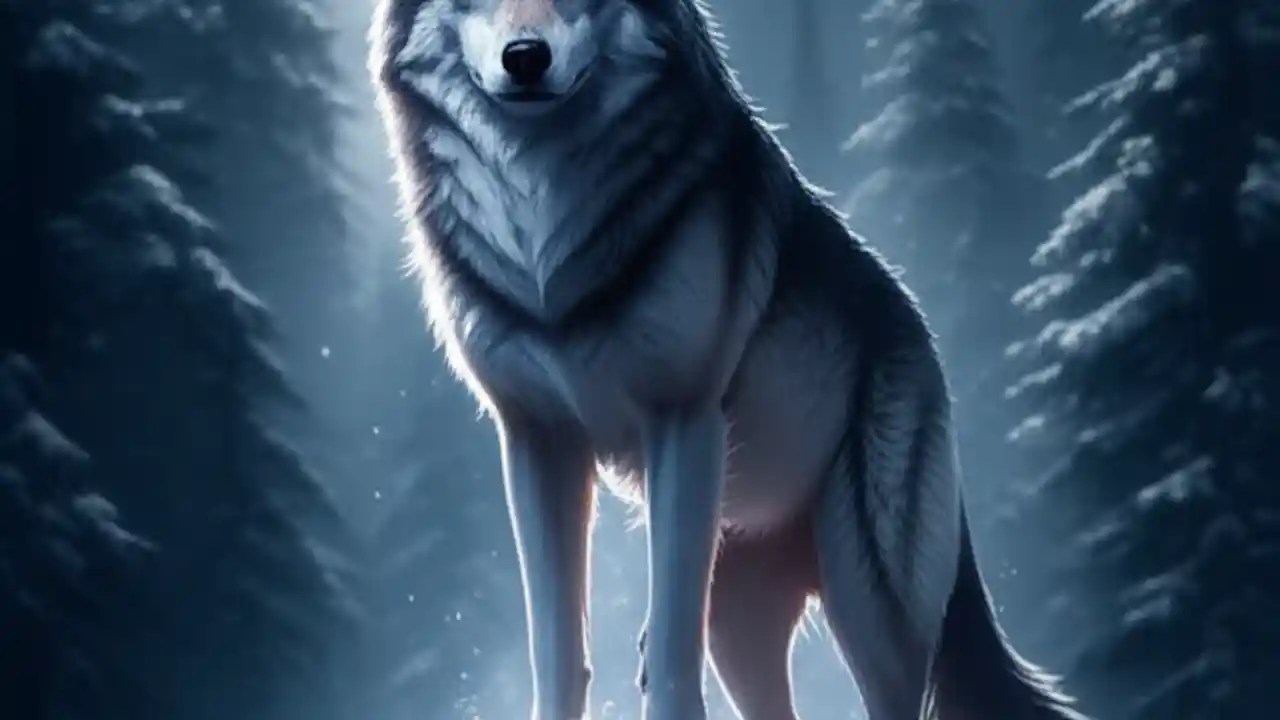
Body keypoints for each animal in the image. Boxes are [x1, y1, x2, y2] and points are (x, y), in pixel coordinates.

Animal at [370, 1, 1087, 719]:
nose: (525, 58)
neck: (544, 237)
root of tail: (924, 338)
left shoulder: (684, 419)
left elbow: (666, 646)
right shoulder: (535, 441)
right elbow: (557, 649)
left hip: (869, 600)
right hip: (739, 628)